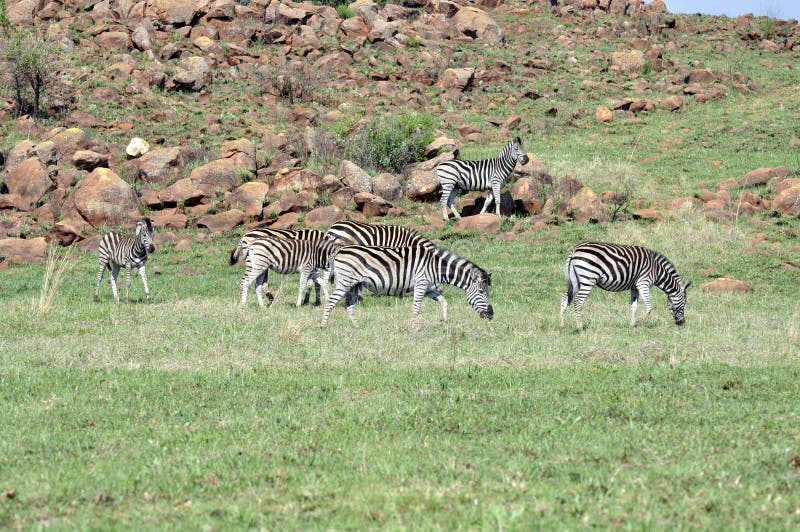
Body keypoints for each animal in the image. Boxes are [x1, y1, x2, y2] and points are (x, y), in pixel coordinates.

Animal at [319, 245, 493, 328]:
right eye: (481, 292)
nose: (491, 315)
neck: (437, 267)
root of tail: (340, 250)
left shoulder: (429, 289)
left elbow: (444, 302)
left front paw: (444, 322)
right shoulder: (421, 284)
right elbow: (416, 308)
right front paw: (414, 327)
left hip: (354, 284)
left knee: (349, 304)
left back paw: (356, 326)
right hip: (345, 281)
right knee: (331, 302)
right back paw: (323, 325)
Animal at [559, 242, 691, 331]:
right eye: (684, 302)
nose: (682, 322)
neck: (657, 270)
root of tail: (574, 250)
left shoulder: (635, 287)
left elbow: (634, 307)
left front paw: (632, 325)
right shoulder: (643, 283)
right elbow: (649, 307)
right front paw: (639, 323)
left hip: (575, 281)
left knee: (565, 298)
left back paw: (561, 325)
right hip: (588, 279)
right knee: (578, 301)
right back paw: (579, 328)